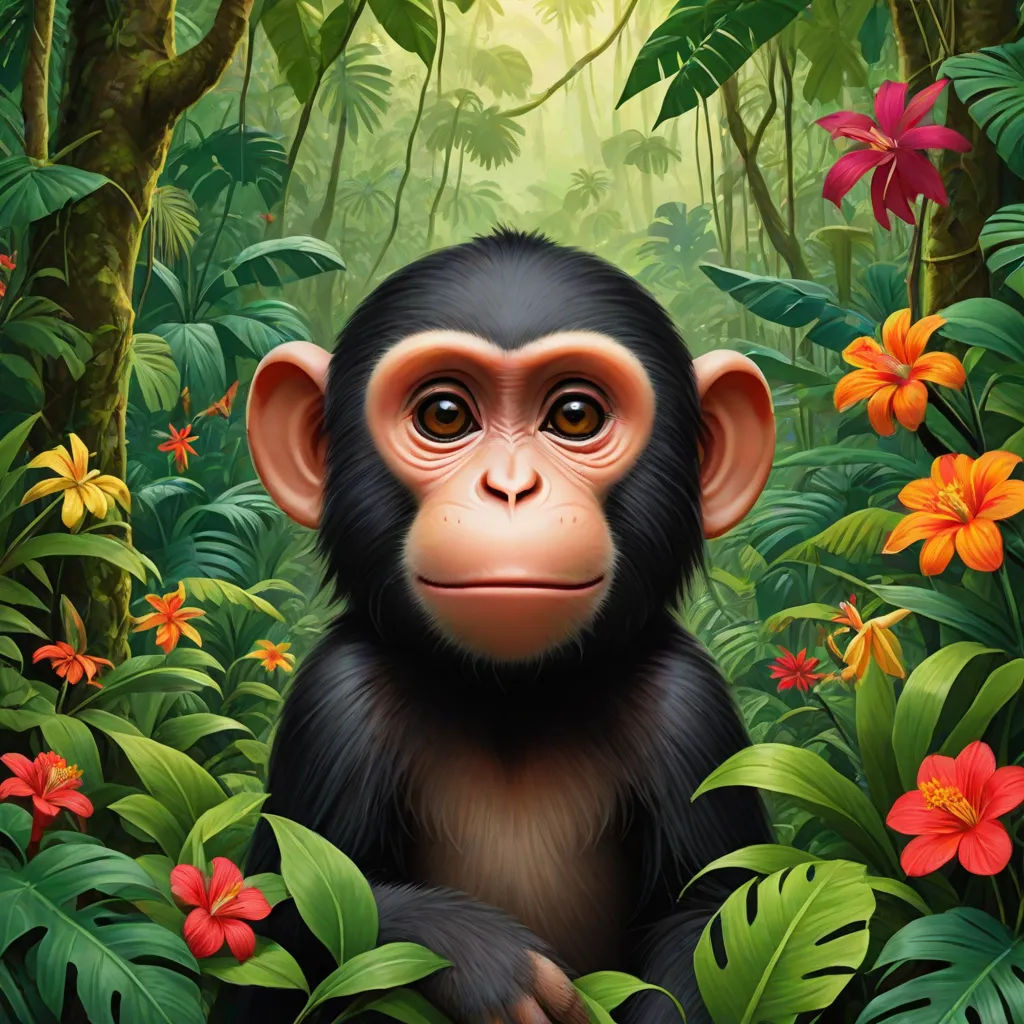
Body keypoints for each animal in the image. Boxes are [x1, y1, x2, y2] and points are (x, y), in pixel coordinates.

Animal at [240, 228, 776, 1024]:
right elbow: (277, 922)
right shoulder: (334, 701)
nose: (513, 487)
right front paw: (479, 961)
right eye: (444, 415)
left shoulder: (691, 708)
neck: (513, 697)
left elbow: (716, 919)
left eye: (576, 415)